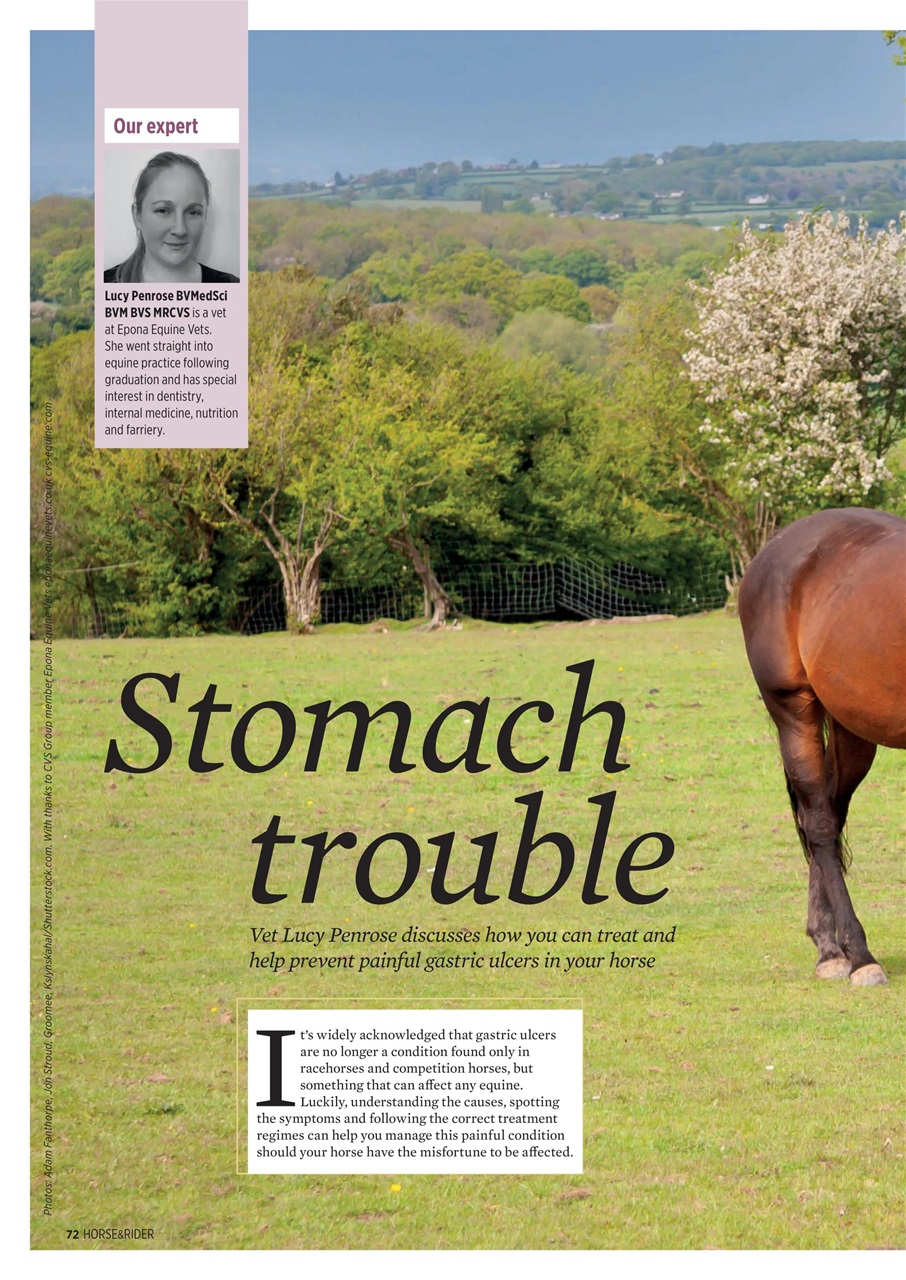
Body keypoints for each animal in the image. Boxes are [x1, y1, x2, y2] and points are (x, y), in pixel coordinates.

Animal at [737, 507, 906, 987]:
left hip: (853, 730)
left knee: (829, 812)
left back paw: (827, 942)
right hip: (794, 712)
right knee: (819, 824)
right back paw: (853, 953)